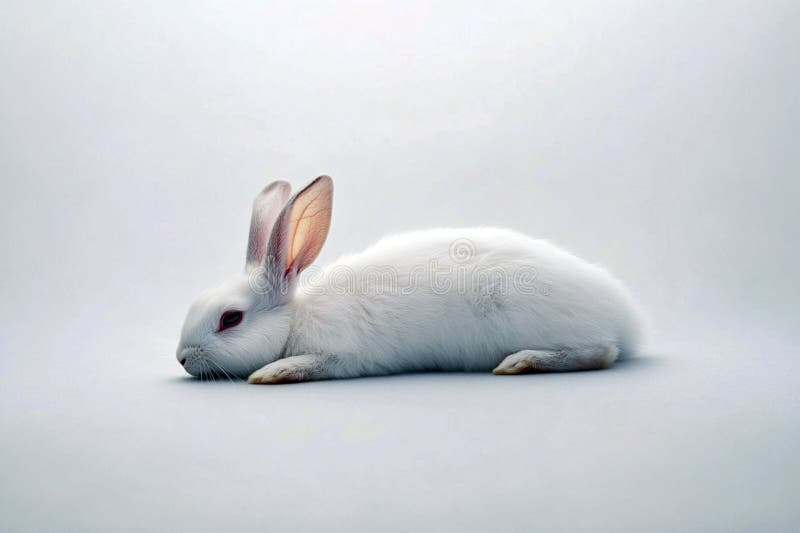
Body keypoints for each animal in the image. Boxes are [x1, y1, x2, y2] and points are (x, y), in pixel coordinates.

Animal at [176, 175, 643, 383]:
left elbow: (313, 364)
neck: (295, 318)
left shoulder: (341, 355)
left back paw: (522, 362)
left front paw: (273, 371)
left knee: (601, 352)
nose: (181, 359)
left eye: (230, 319)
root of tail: (627, 317)